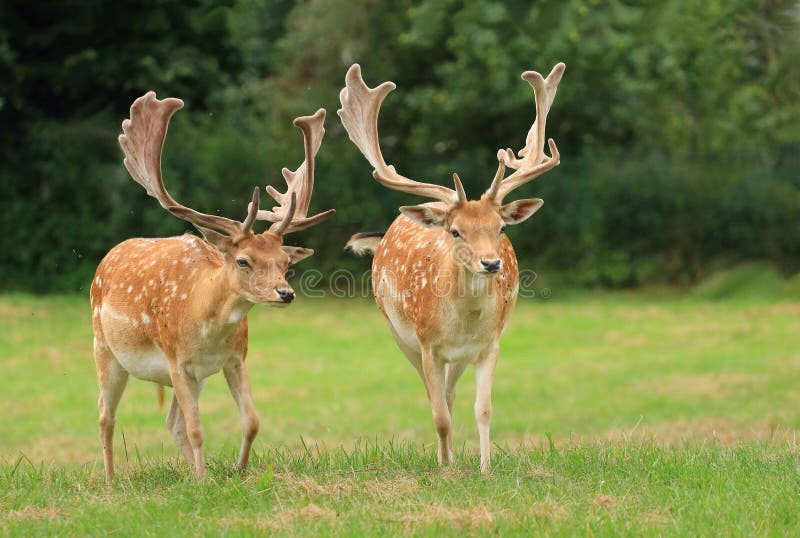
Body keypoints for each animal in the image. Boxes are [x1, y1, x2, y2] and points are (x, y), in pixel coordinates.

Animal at [90, 91, 334, 482]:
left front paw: (236, 469)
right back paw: (111, 480)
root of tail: (109, 256)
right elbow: (196, 429)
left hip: (191, 377)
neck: (202, 320)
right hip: (105, 349)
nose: (285, 293)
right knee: (104, 416)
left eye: (285, 263)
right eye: (243, 260)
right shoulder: (176, 359)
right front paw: (204, 481)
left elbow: (251, 421)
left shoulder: (234, 359)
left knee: (170, 421)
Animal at [341, 62, 565, 473]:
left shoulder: (489, 345)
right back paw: (444, 456)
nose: (491, 262)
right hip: (399, 334)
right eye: (456, 231)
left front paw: (485, 469)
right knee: (435, 397)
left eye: (501, 227)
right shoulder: (428, 346)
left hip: (457, 357)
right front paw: (445, 468)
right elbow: (439, 414)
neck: (462, 325)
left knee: (450, 393)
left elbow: (483, 409)